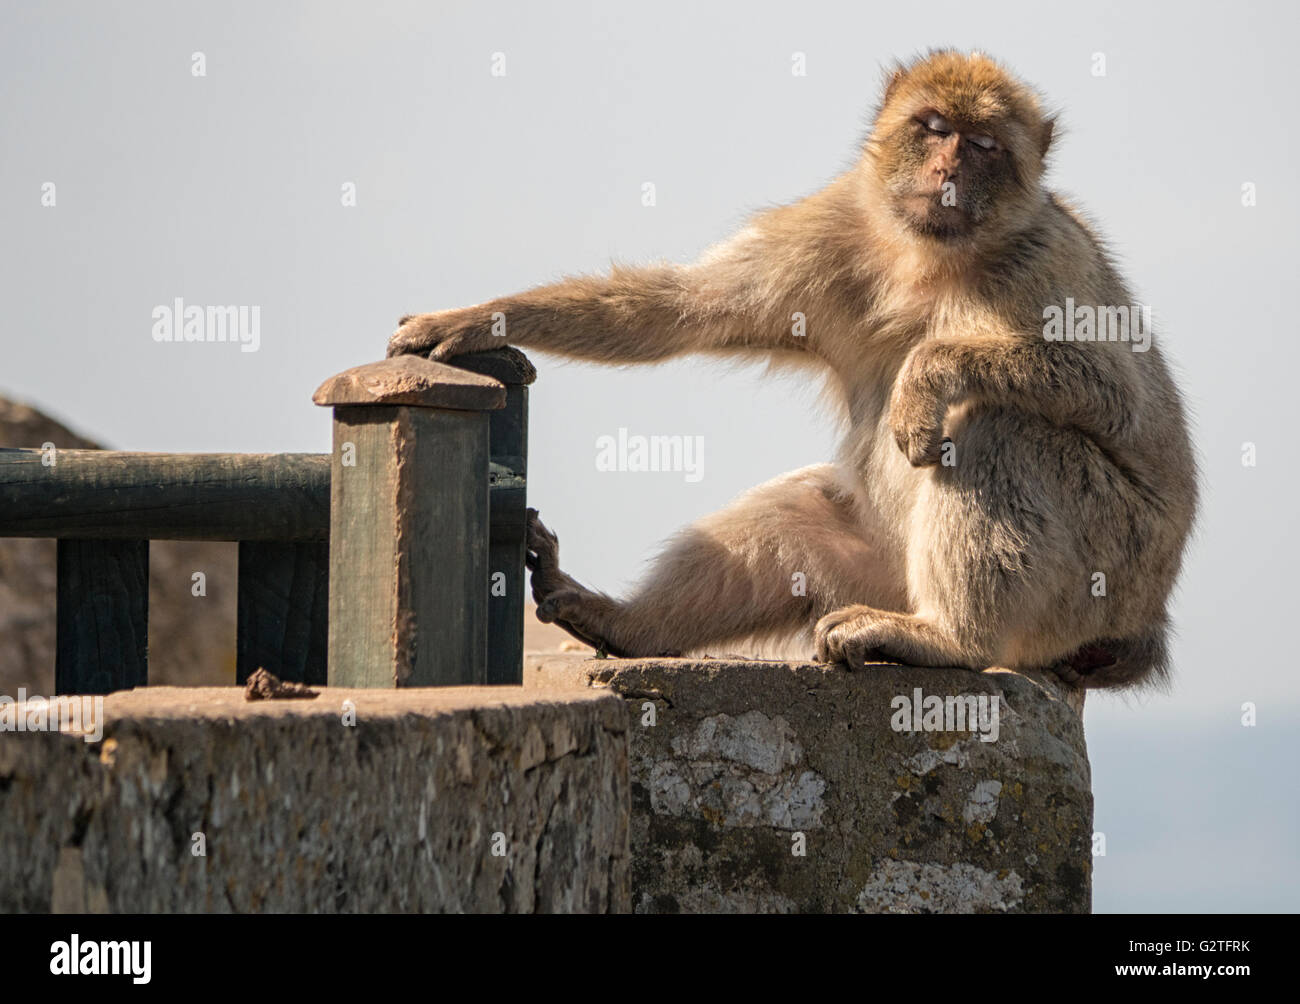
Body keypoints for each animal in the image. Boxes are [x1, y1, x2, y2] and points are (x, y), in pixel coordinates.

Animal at [387, 50, 1197, 690]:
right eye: (935, 128)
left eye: (985, 145)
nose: (948, 169)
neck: (925, 256)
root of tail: (1145, 623)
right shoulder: (829, 231)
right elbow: (678, 310)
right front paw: (475, 320)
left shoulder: (1043, 260)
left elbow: (1109, 392)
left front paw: (924, 379)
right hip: (884, 566)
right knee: (797, 515)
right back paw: (624, 623)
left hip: (1110, 570)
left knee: (1000, 427)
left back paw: (952, 638)